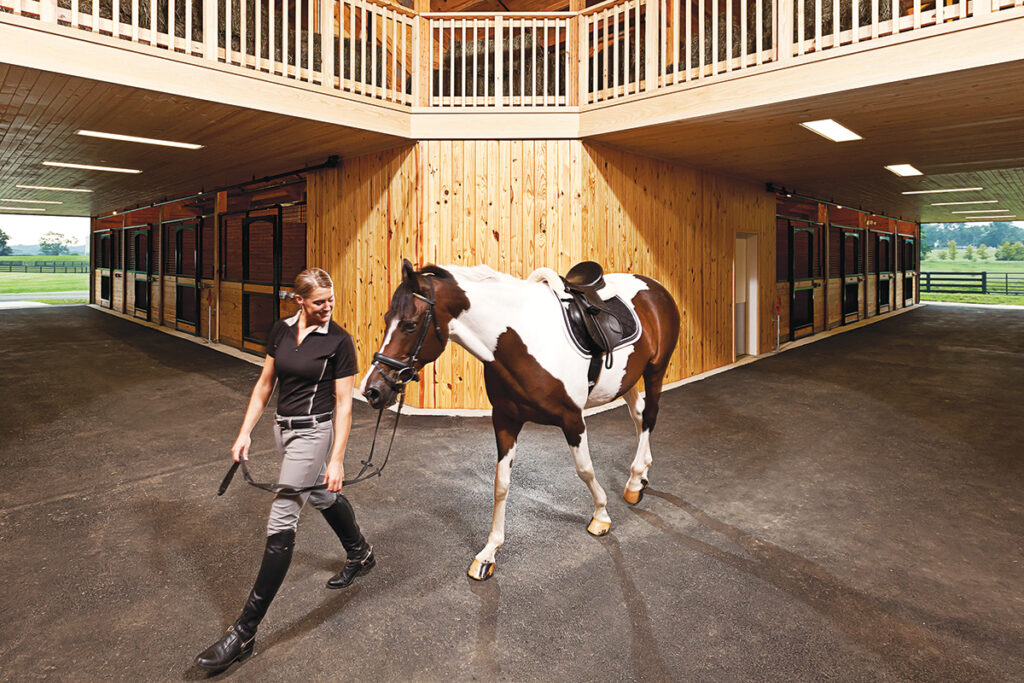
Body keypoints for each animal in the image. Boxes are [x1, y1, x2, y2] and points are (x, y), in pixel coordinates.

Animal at [361, 259, 680, 581]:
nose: (373, 390)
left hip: (655, 370)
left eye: (410, 324)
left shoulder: (573, 420)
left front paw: (601, 515)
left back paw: (634, 484)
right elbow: (501, 484)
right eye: (386, 318)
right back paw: (640, 476)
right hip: (627, 380)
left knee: (649, 416)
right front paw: (488, 554)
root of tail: (654, 286)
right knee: (638, 415)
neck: (521, 341)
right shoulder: (505, 420)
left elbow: (585, 470)